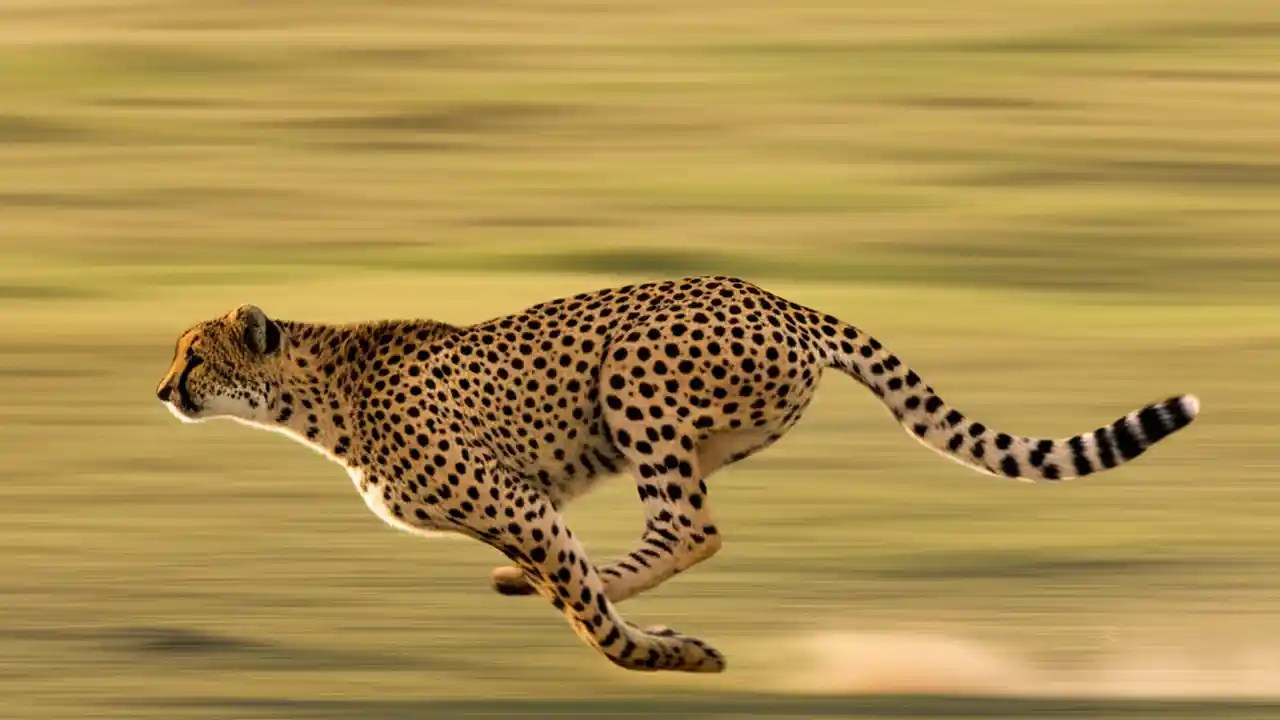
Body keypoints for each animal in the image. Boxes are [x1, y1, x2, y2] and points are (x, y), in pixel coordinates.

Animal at [155, 275, 1199, 673]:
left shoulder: (518, 501)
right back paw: (536, 586)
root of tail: (775, 295)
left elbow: (589, 616)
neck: (316, 393)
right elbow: (575, 588)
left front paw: (670, 653)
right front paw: (644, 630)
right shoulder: (526, 507)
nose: (162, 390)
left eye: (194, 356)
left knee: (693, 528)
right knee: (673, 529)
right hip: (699, 431)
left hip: (636, 383)